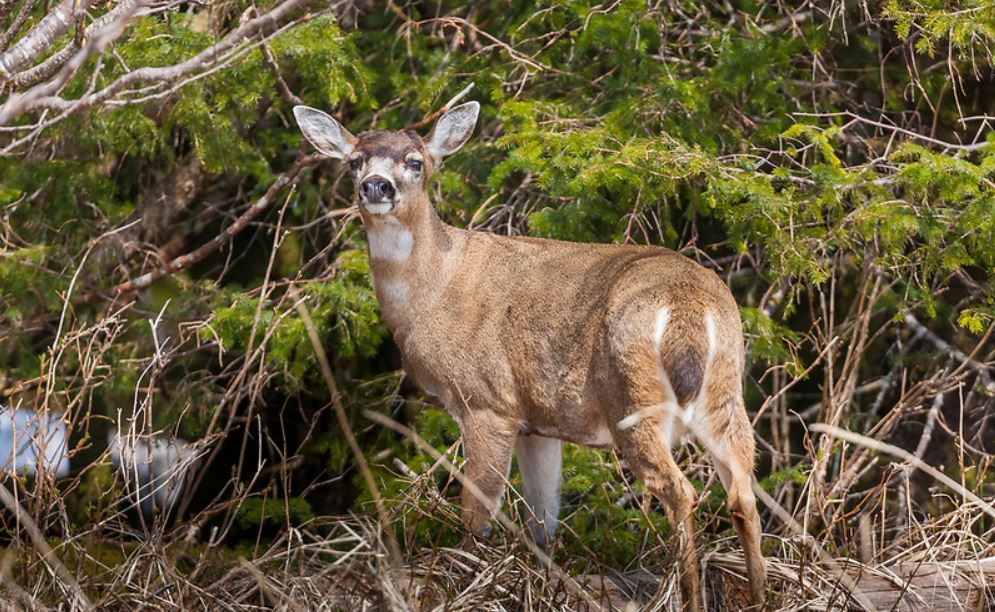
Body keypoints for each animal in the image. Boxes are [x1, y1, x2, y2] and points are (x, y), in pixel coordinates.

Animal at [293, 99, 767, 611]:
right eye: (354, 161)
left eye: (415, 162)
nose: (376, 186)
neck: (433, 291)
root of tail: (687, 308)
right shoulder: (537, 421)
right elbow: (543, 523)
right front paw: (541, 588)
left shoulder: (484, 401)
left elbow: (477, 515)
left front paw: (466, 583)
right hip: (725, 391)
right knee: (743, 493)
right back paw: (762, 596)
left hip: (633, 398)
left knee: (680, 491)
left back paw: (689, 597)